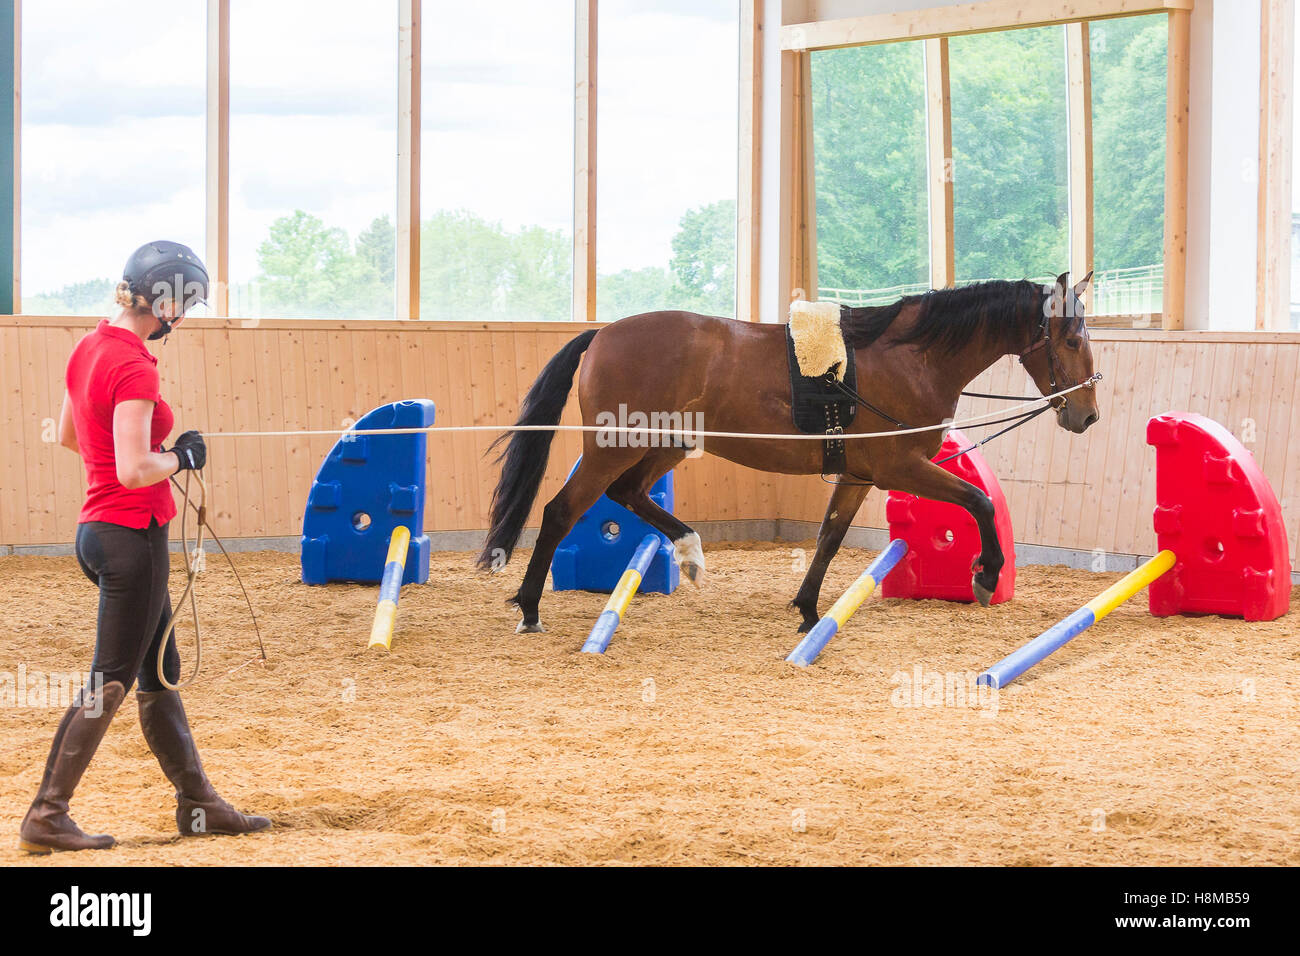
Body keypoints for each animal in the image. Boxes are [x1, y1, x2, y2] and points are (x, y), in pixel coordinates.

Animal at [478, 272, 1100, 634]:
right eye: (1072, 339)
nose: (1087, 414)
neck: (912, 357)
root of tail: (602, 334)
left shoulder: (858, 475)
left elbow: (829, 537)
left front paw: (806, 610)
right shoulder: (900, 467)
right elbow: (978, 502)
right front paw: (986, 574)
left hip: (667, 445)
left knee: (626, 493)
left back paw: (690, 553)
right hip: (615, 447)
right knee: (562, 511)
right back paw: (529, 607)